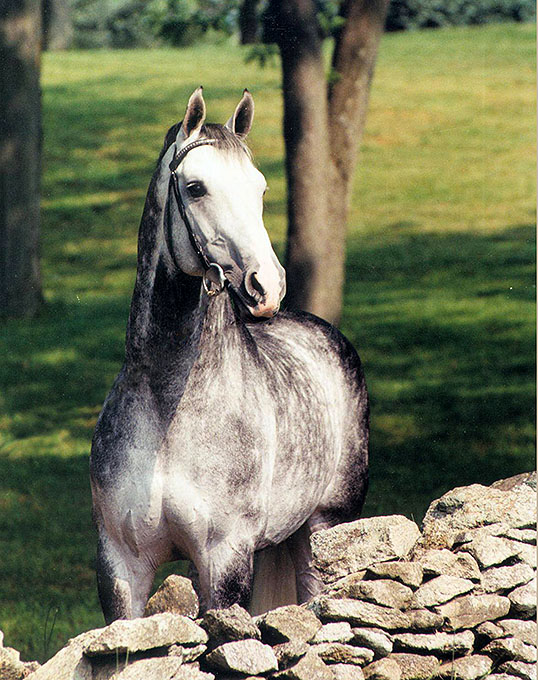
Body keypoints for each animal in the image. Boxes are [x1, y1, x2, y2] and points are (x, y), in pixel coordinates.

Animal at [90, 87, 369, 623]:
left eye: (259, 188)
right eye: (196, 188)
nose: (267, 286)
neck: (167, 405)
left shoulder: (226, 557)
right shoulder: (121, 564)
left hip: (326, 531)